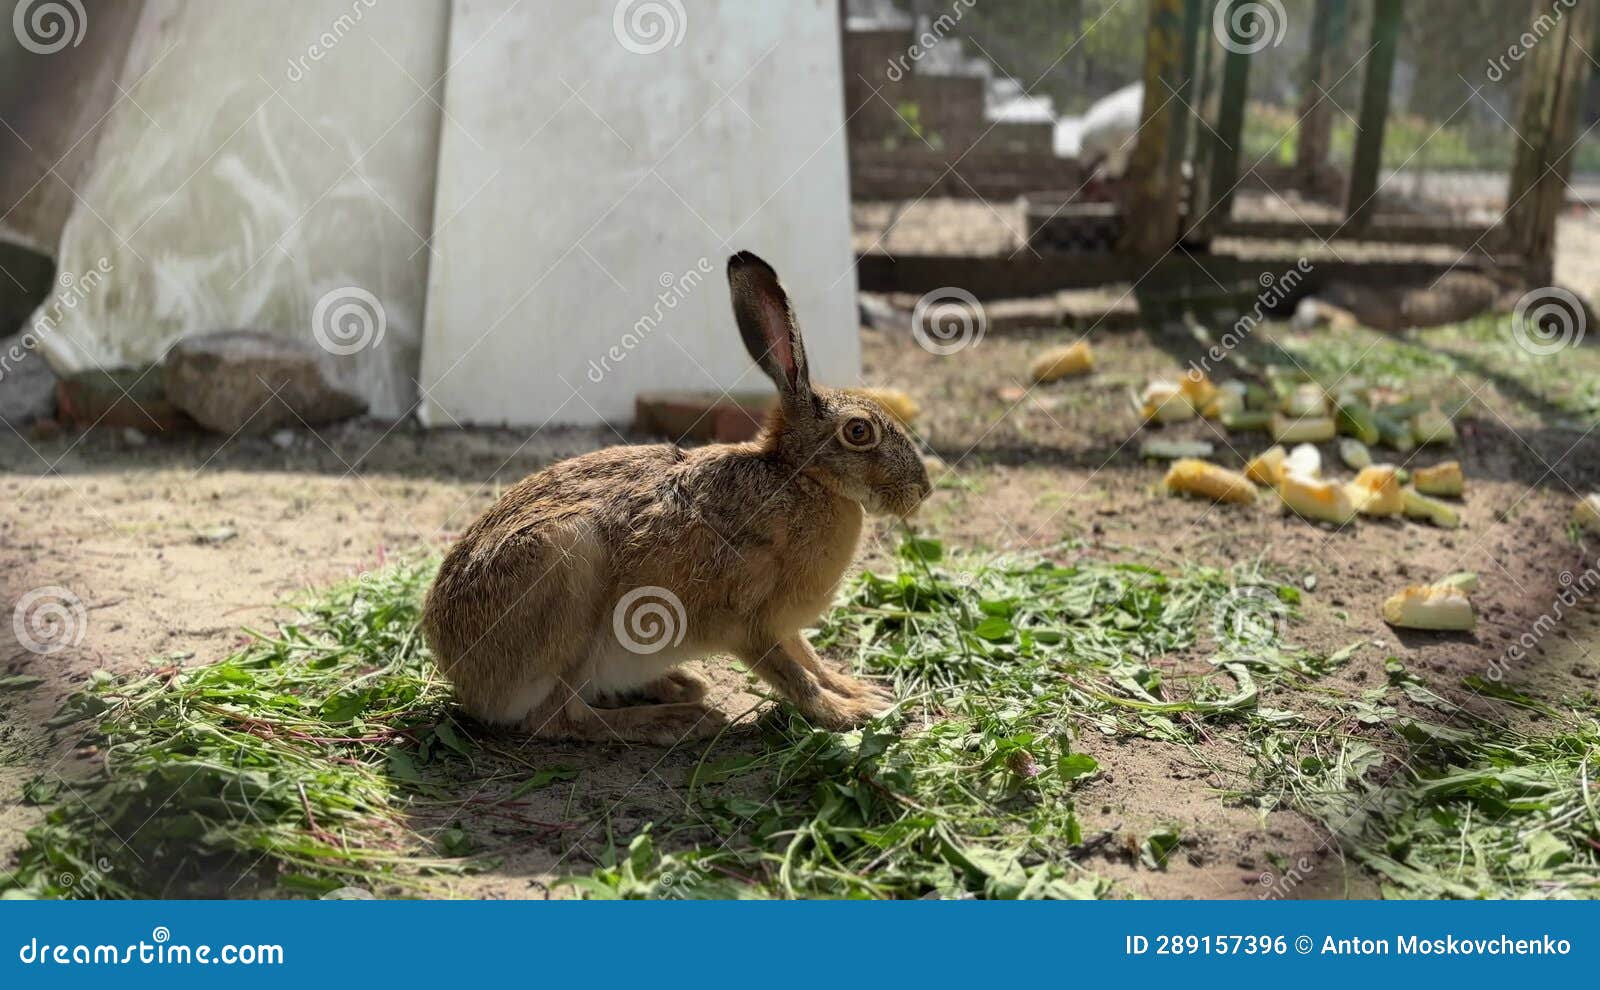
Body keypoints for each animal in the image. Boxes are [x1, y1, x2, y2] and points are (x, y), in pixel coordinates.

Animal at [421, 251, 932, 745]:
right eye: (858, 432)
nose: (922, 491)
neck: (797, 476)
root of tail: (462, 673)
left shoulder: (783, 626)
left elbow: (810, 658)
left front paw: (859, 690)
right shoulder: (747, 623)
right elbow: (793, 675)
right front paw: (850, 713)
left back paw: (675, 685)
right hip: (570, 578)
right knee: (559, 719)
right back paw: (680, 719)